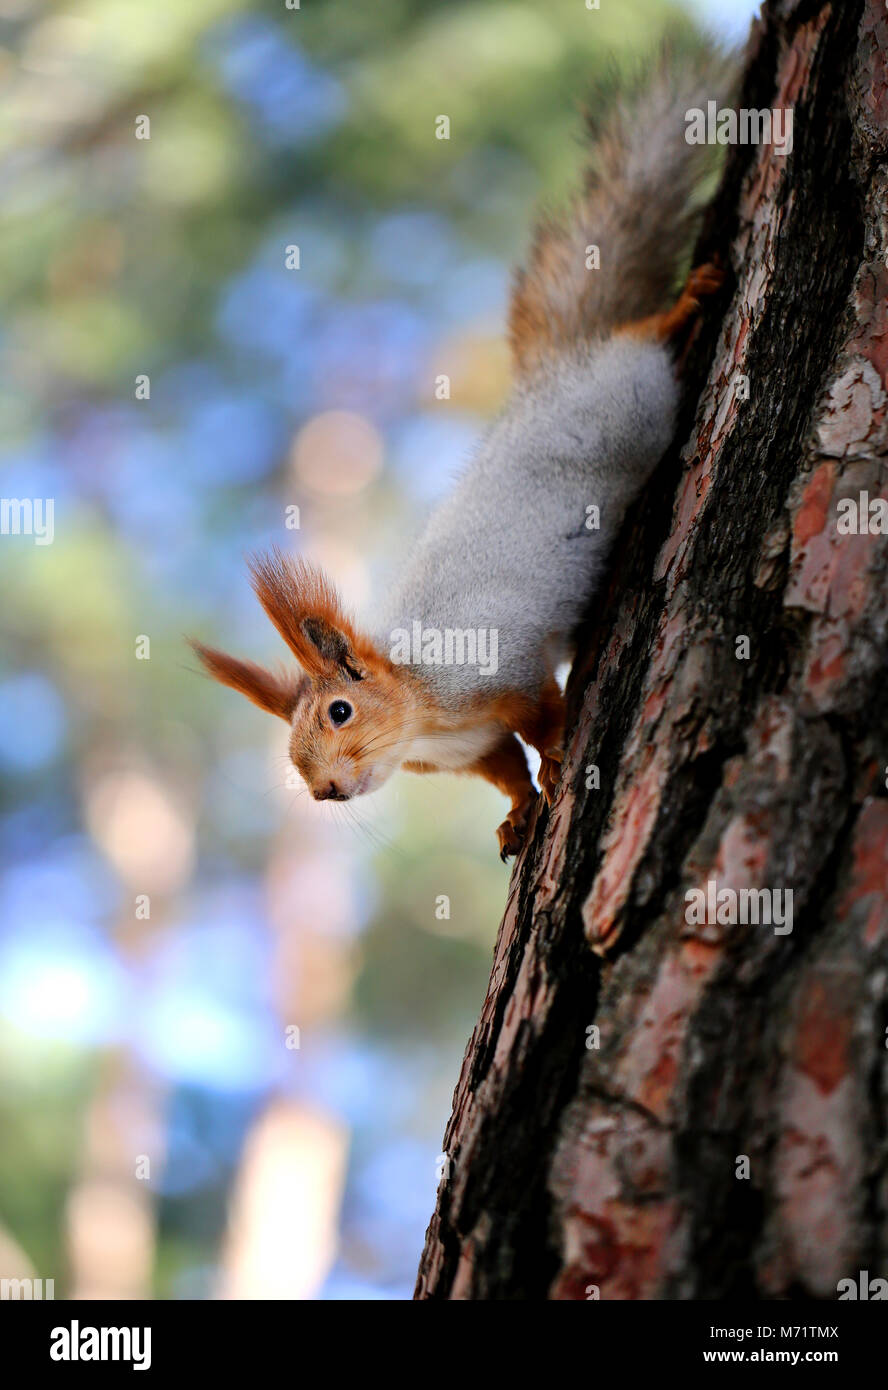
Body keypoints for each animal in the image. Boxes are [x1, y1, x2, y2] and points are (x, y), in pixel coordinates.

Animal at [192, 54, 728, 861]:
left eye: (340, 712)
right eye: (289, 745)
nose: (321, 791)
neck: (422, 712)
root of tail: (549, 378)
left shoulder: (500, 667)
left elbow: (541, 715)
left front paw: (560, 753)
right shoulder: (472, 747)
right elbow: (505, 767)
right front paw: (517, 811)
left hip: (628, 398)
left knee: (639, 341)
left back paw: (686, 305)